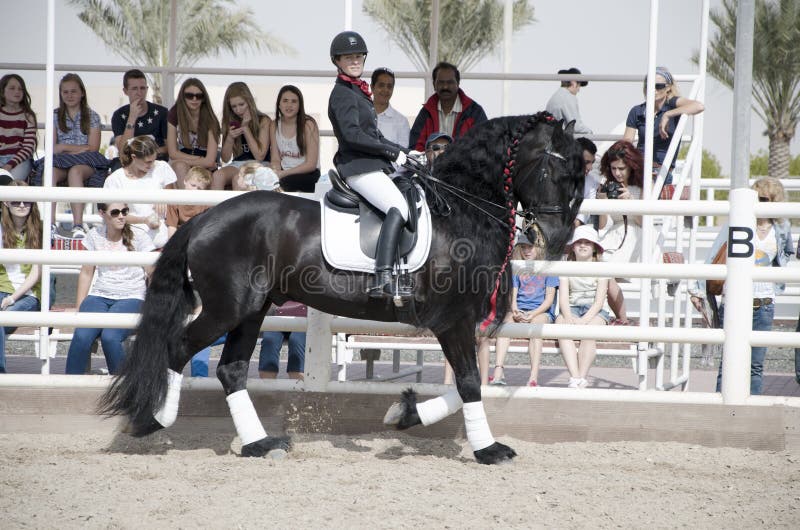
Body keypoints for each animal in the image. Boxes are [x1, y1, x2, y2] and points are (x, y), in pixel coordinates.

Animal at [99, 112, 585, 465]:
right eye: (553, 170)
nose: (557, 240)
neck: (462, 208)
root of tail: (202, 220)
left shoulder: (460, 321)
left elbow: (470, 381)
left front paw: (406, 412)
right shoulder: (453, 321)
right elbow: (469, 382)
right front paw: (488, 450)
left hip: (253, 309)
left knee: (231, 369)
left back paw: (259, 444)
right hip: (227, 308)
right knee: (179, 347)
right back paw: (156, 420)